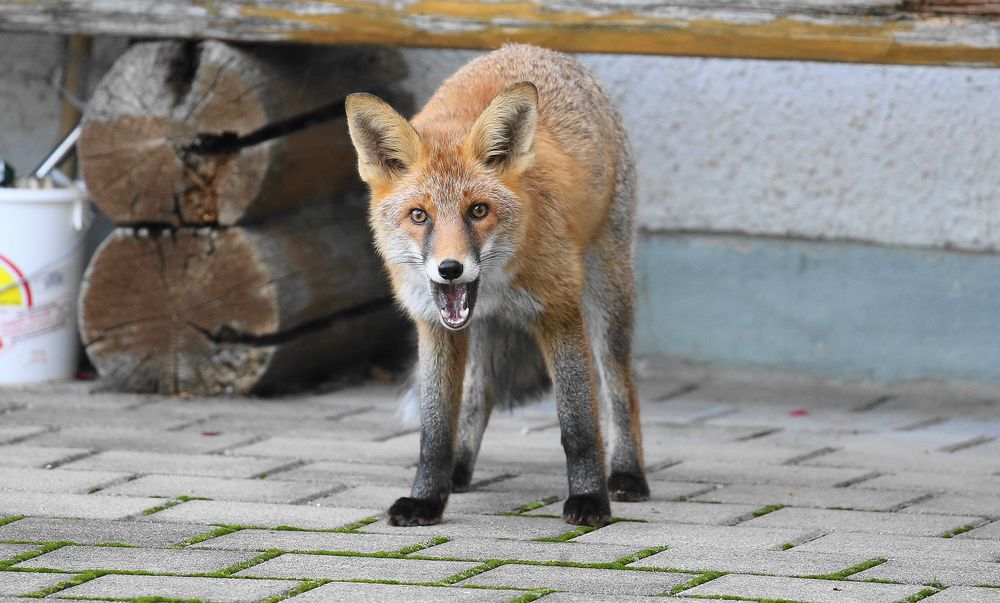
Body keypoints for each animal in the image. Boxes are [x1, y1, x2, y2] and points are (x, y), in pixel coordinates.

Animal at [344, 44, 647, 527]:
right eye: (419, 215)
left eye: (478, 210)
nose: (450, 269)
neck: (498, 285)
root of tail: (534, 48)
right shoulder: (434, 324)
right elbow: (434, 431)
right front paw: (427, 499)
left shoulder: (560, 310)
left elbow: (578, 425)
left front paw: (588, 499)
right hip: (480, 330)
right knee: (478, 394)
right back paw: (458, 470)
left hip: (608, 288)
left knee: (620, 387)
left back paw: (627, 475)